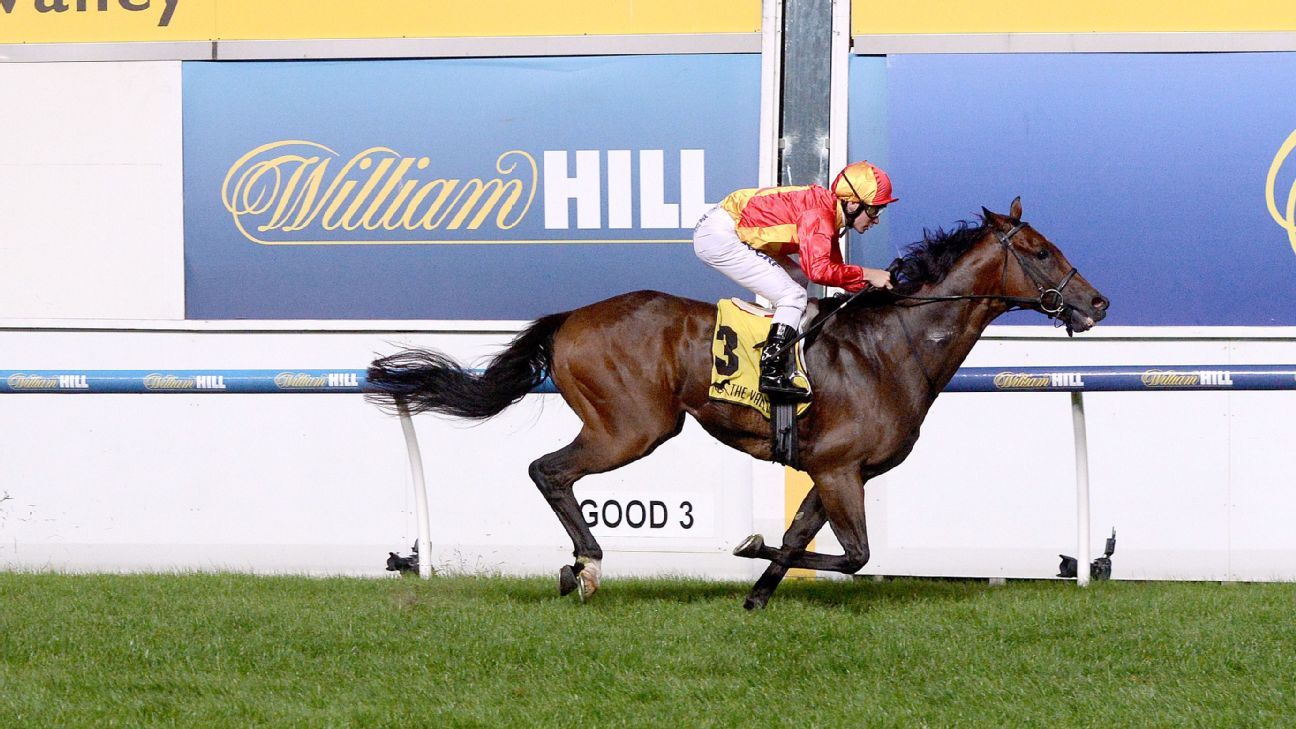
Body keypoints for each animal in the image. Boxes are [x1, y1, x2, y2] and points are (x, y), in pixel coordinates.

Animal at [366, 198, 1109, 609]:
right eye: (1040, 250)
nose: (1097, 302)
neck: (890, 346)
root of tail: (570, 317)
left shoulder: (835, 471)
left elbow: (804, 540)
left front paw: (756, 595)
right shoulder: (841, 470)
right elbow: (854, 555)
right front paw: (749, 549)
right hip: (635, 427)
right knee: (548, 471)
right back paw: (586, 566)